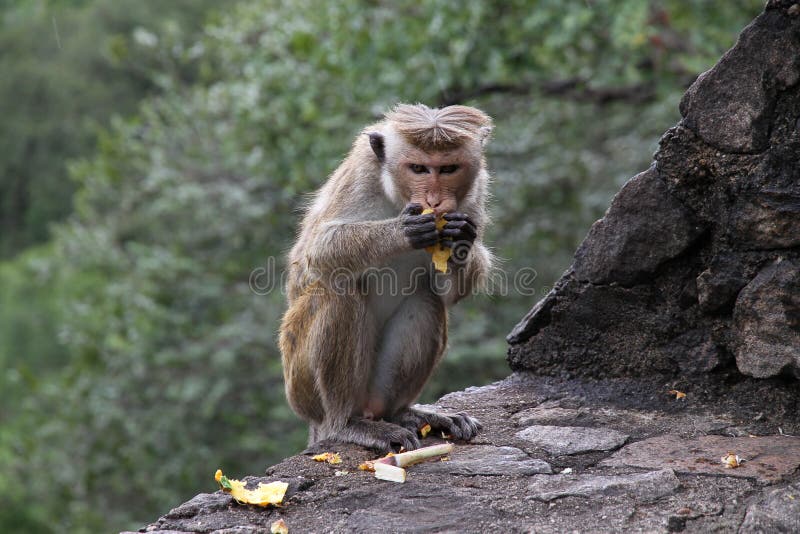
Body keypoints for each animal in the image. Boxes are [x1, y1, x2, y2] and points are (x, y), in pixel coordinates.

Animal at [279, 103, 494, 452]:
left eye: (448, 168)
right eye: (418, 168)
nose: (434, 201)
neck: (398, 197)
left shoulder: (475, 191)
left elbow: (447, 292)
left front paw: (460, 237)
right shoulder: (360, 174)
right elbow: (318, 249)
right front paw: (403, 231)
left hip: (374, 391)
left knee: (426, 298)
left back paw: (403, 413)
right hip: (299, 384)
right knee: (339, 288)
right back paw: (346, 424)